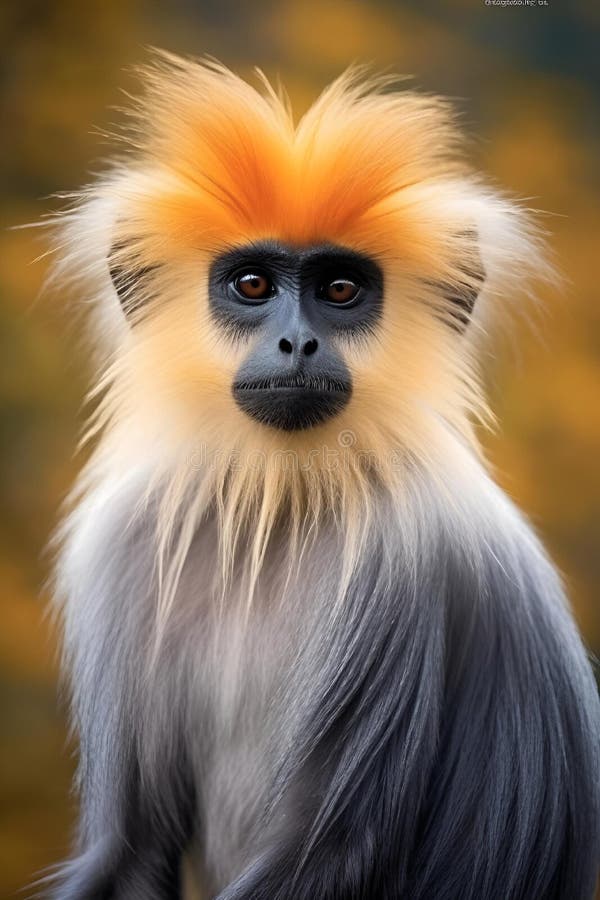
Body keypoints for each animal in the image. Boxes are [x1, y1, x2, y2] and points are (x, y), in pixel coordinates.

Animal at [42, 53, 600, 900]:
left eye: (339, 291)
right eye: (252, 287)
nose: (297, 343)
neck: (284, 503)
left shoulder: (404, 561)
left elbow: (334, 846)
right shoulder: (126, 542)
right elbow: (128, 848)